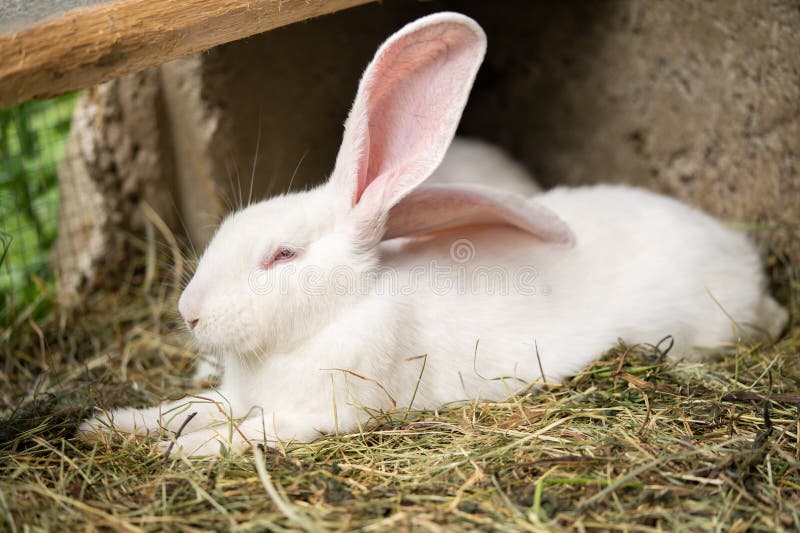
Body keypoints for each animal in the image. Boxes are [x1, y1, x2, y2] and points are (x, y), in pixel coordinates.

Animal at [79, 12, 787, 456]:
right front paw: (109, 424)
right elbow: (190, 404)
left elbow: (249, 430)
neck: (342, 310)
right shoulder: (234, 393)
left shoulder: (324, 413)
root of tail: (745, 261)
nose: (189, 314)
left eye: (282, 255)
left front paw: (187, 450)